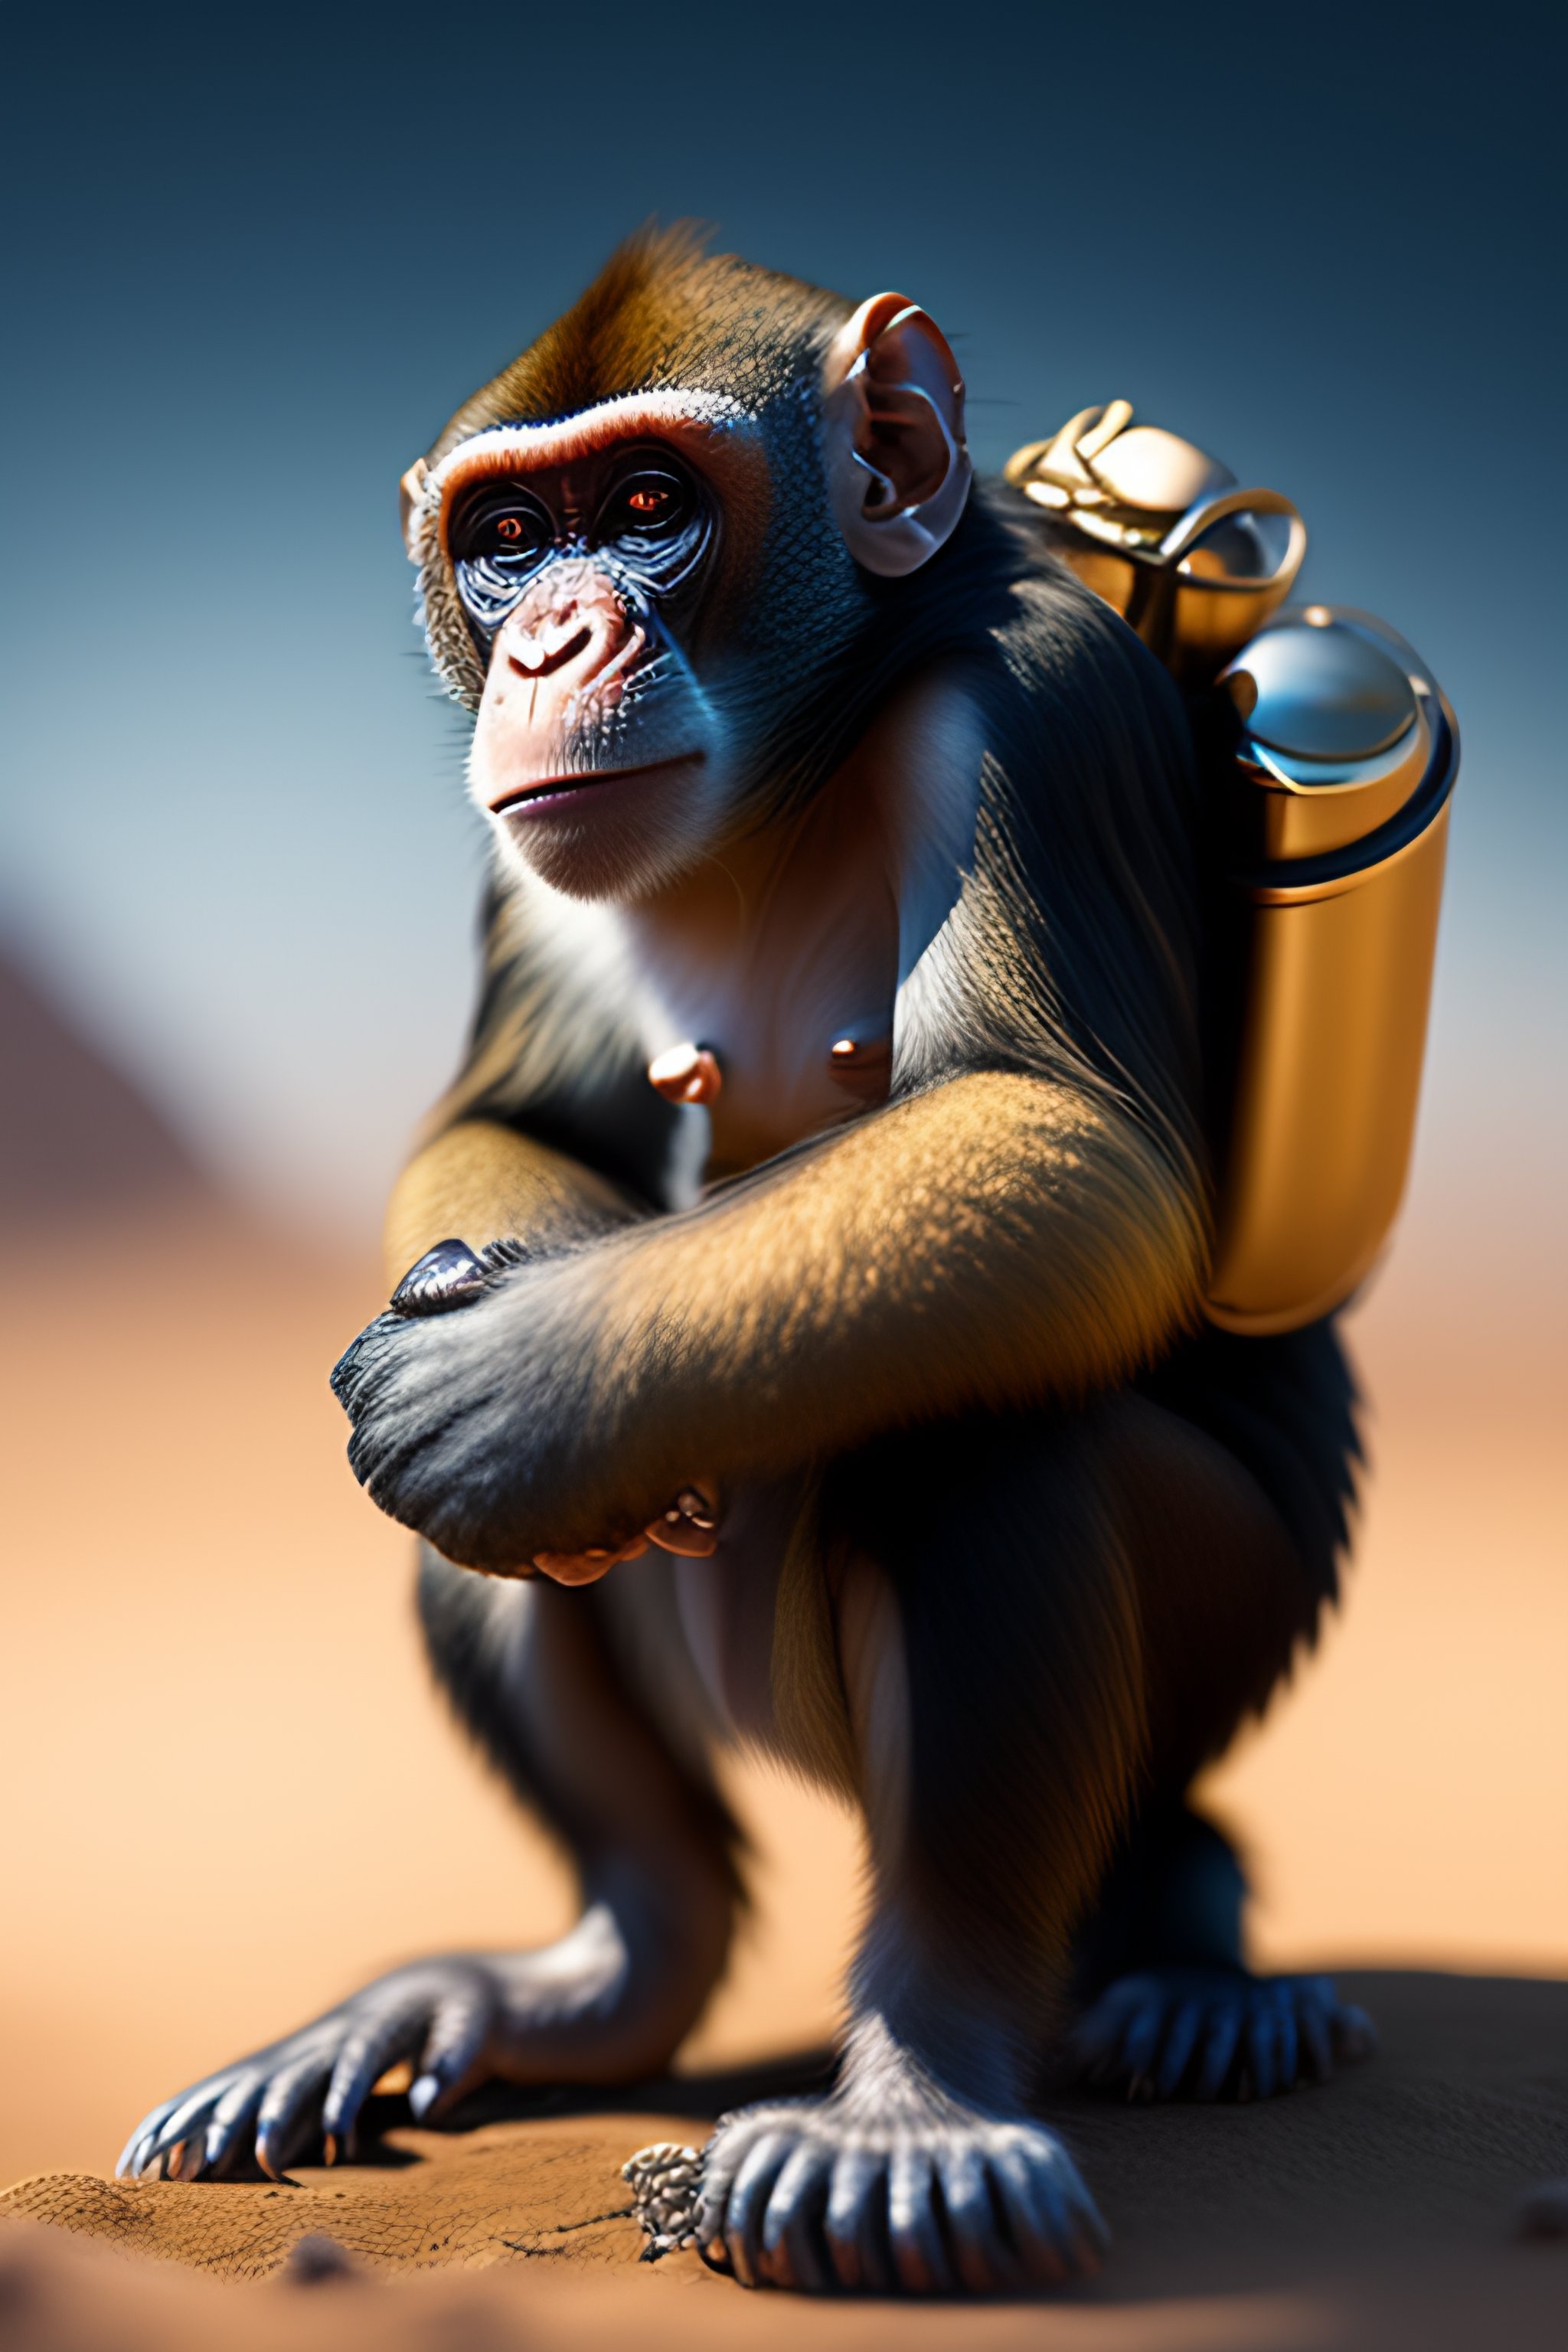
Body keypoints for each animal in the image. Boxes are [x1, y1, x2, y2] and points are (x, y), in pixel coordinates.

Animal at [117, 227, 1375, 2295]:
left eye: (645, 509)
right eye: (507, 535)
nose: (548, 642)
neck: (798, 758)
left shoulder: (1039, 708)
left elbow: (1059, 1146)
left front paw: (522, 1379)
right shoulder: (519, 843)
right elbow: (521, 1131)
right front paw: (514, 1320)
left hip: (1231, 1638)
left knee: (981, 1431)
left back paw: (964, 2072)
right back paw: (575, 1981)